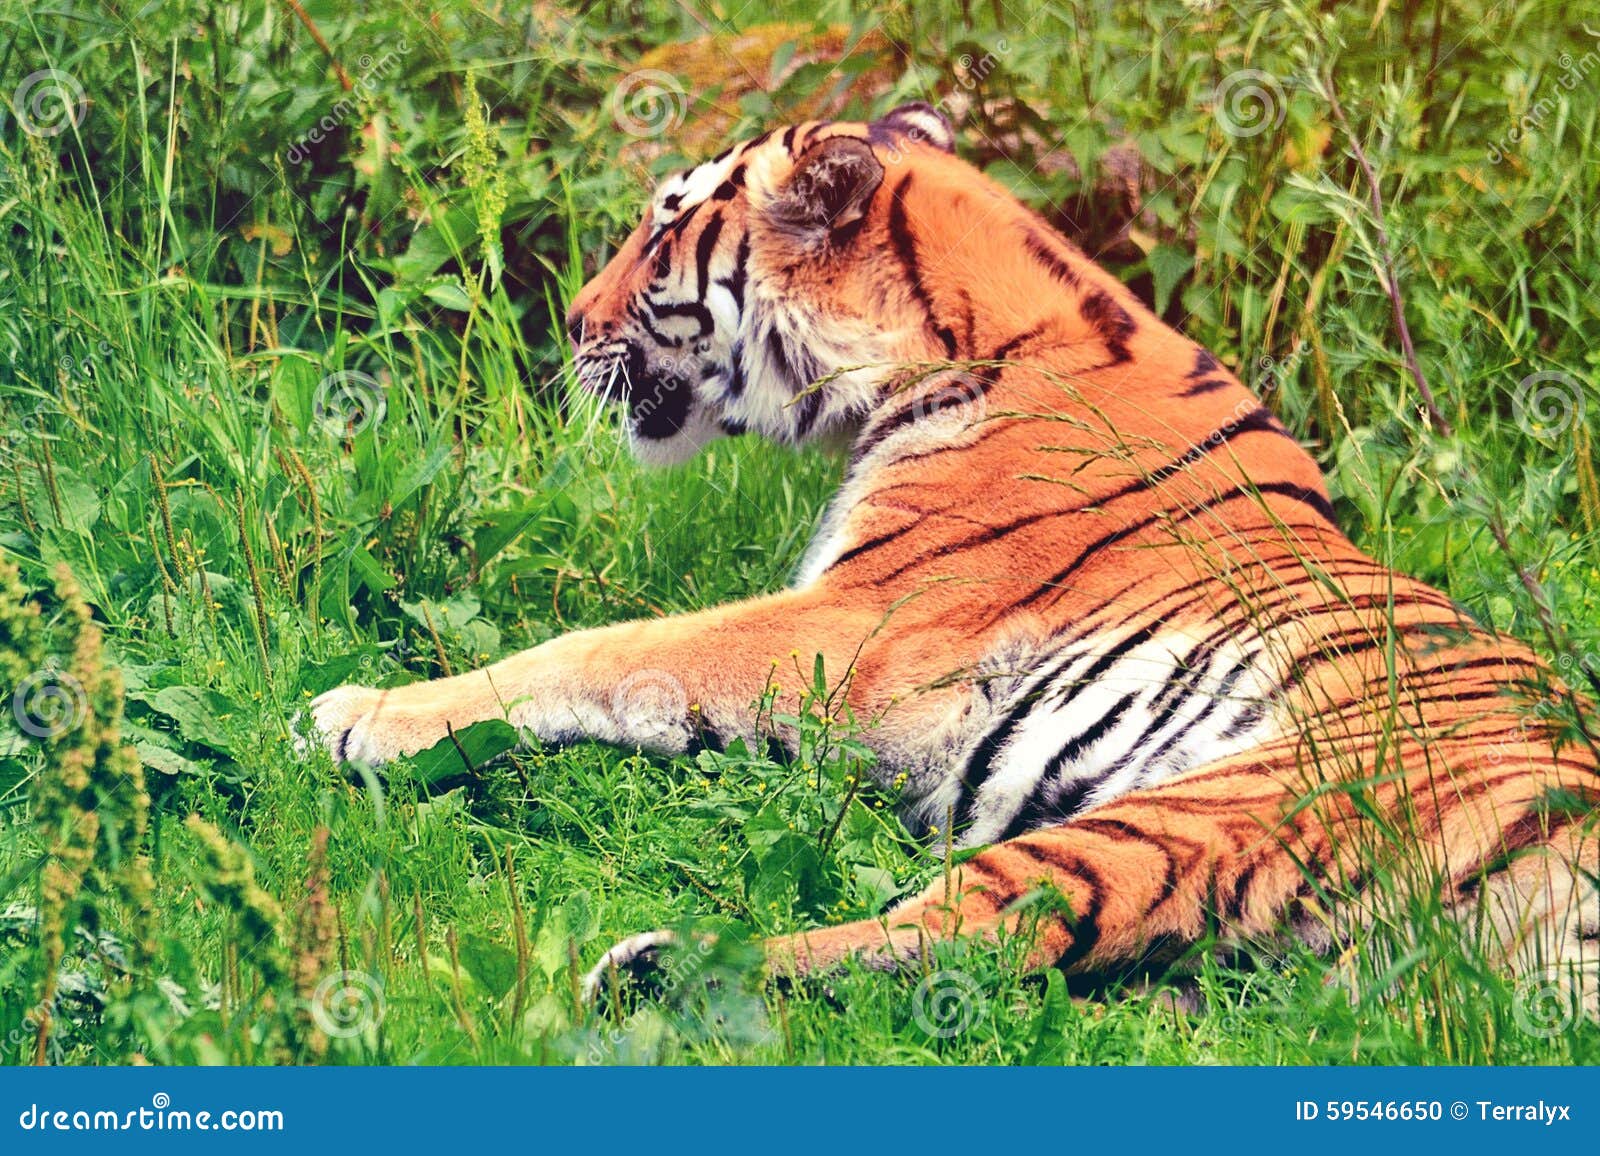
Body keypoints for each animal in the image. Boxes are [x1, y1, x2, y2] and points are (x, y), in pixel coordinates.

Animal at [311, 102, 1600, 1011]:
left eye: (665, 227)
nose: (570, 324)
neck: (943, 346)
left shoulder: (855, 628)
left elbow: (599, 649)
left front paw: (360, 715)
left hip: (1220, 801)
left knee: (979, 931)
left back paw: (646, 971)